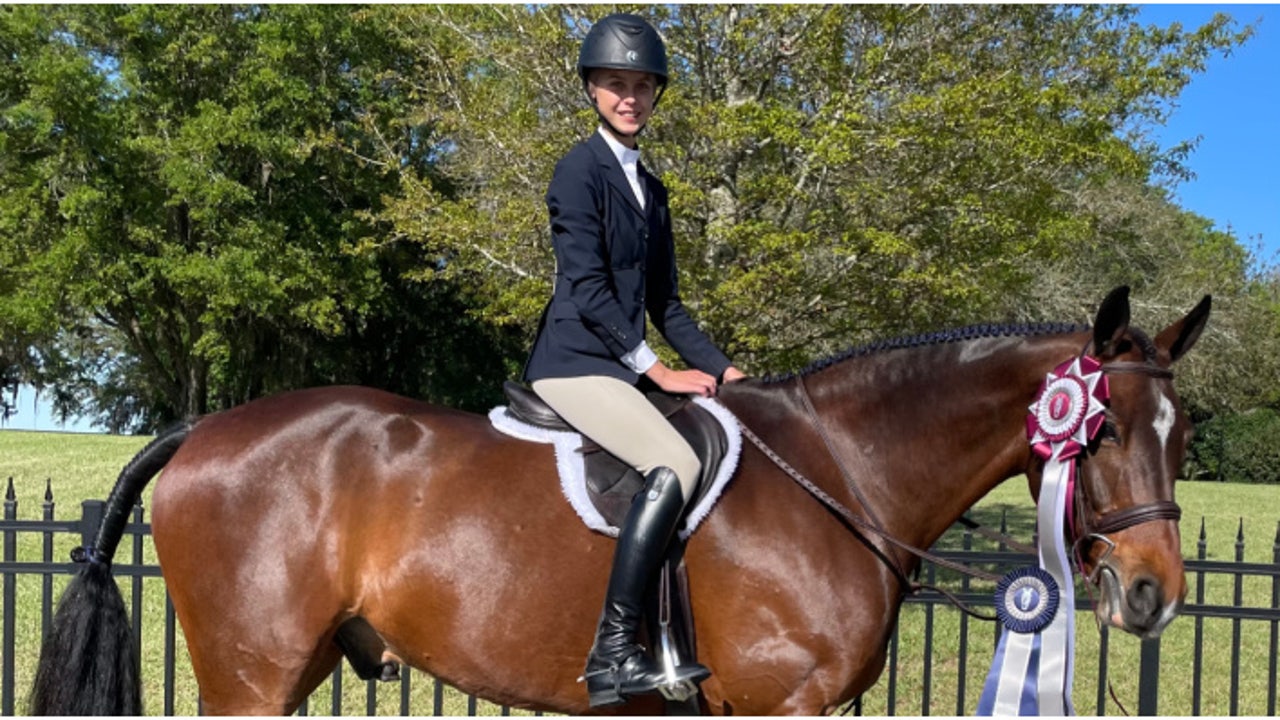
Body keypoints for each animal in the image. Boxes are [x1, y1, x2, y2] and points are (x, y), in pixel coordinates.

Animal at [32, 286, 1210, 715]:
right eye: (1101, 430)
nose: (1153, 595)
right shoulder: (777, 707)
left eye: (1184, 433)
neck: (841, 471)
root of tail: (206, 429)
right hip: (251, 678)